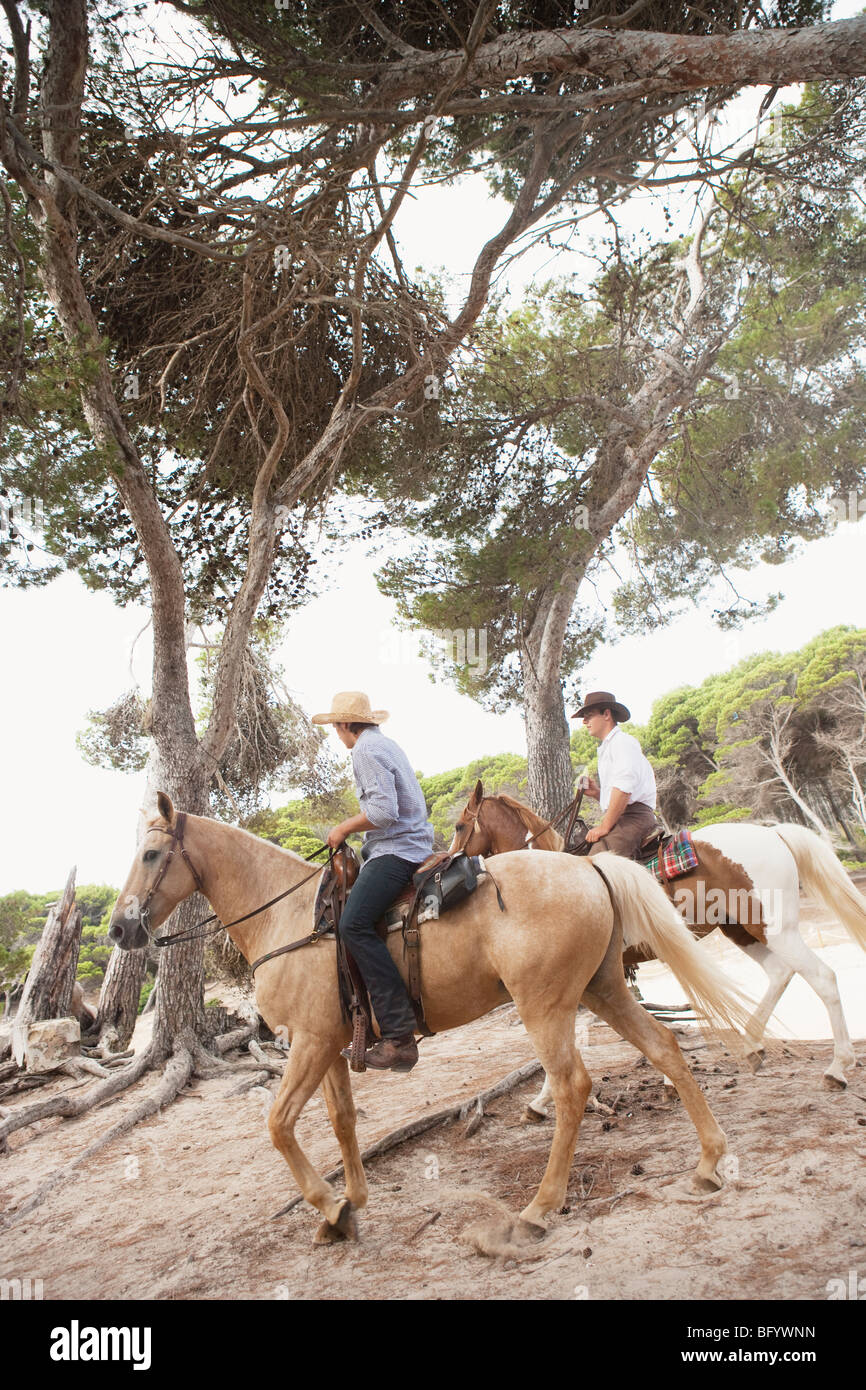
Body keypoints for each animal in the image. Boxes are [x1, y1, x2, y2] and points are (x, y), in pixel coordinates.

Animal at [107, 792, 755, 1244]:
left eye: (150, 854)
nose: (119, 928)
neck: (288, 917)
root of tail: (589, 870)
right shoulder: (328, 1045)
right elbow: (342, 1121)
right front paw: (349, 1207)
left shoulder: (309, 1043)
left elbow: (279, 1125)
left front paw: (330, 1204)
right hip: (604, 988)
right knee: (665, 1046)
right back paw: (709, 1162)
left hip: (545, 1006)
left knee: (573, 1084)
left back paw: (538, 1209)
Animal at [449, 781, 866, 1104]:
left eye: (458, 825)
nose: (444, 861)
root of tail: (773, 833)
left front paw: (541, 1100)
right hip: (740, 930)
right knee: (780, 973)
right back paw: (751, 1046)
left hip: (775, 928)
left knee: (823, 978)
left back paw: (837, 1068)